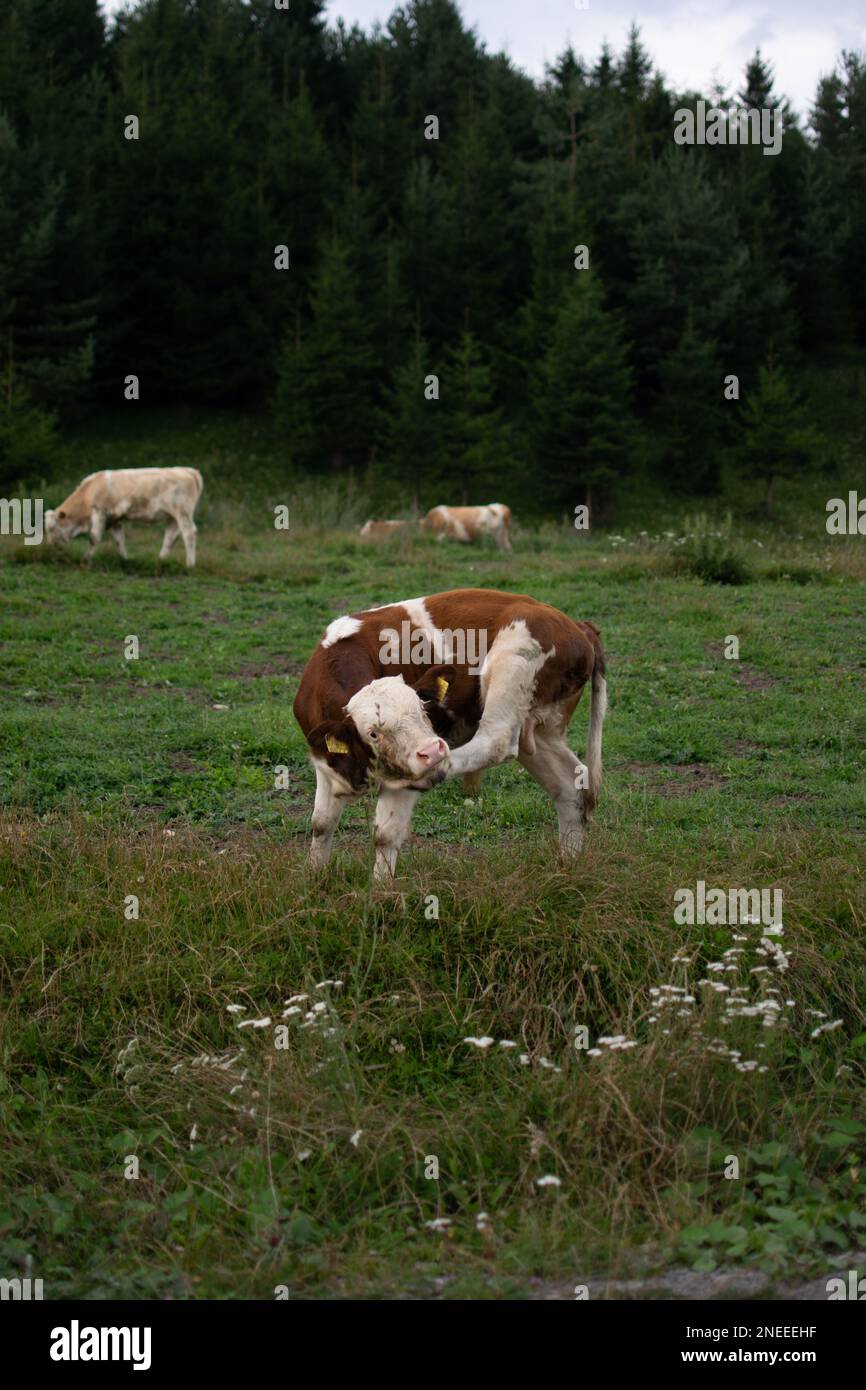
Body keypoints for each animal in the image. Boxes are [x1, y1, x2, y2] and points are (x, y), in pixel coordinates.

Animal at [44, 467, 203, 567]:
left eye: (52, 528)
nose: (50, 548)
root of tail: (188, 470)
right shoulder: (114, 519)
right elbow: (119, 539)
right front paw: (124, 560)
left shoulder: (100, 512)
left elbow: (94, 538)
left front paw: (86, 559)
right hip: (173, 516)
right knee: (170, 536)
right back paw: (160, 560)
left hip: (183, 513)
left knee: (188, 533)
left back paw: (190, 564)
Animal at [293, 588, 606, 879]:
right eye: (373, 733)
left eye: (423, 708)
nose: (431, 751)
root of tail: (578, 626)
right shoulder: (324, 761)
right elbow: (321, 824)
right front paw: (314, 878)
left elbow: (385, 835)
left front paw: (380, 893)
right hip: (539, 731)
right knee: (570, 785)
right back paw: (568, 866)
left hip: (511, 664)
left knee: (496, 740)